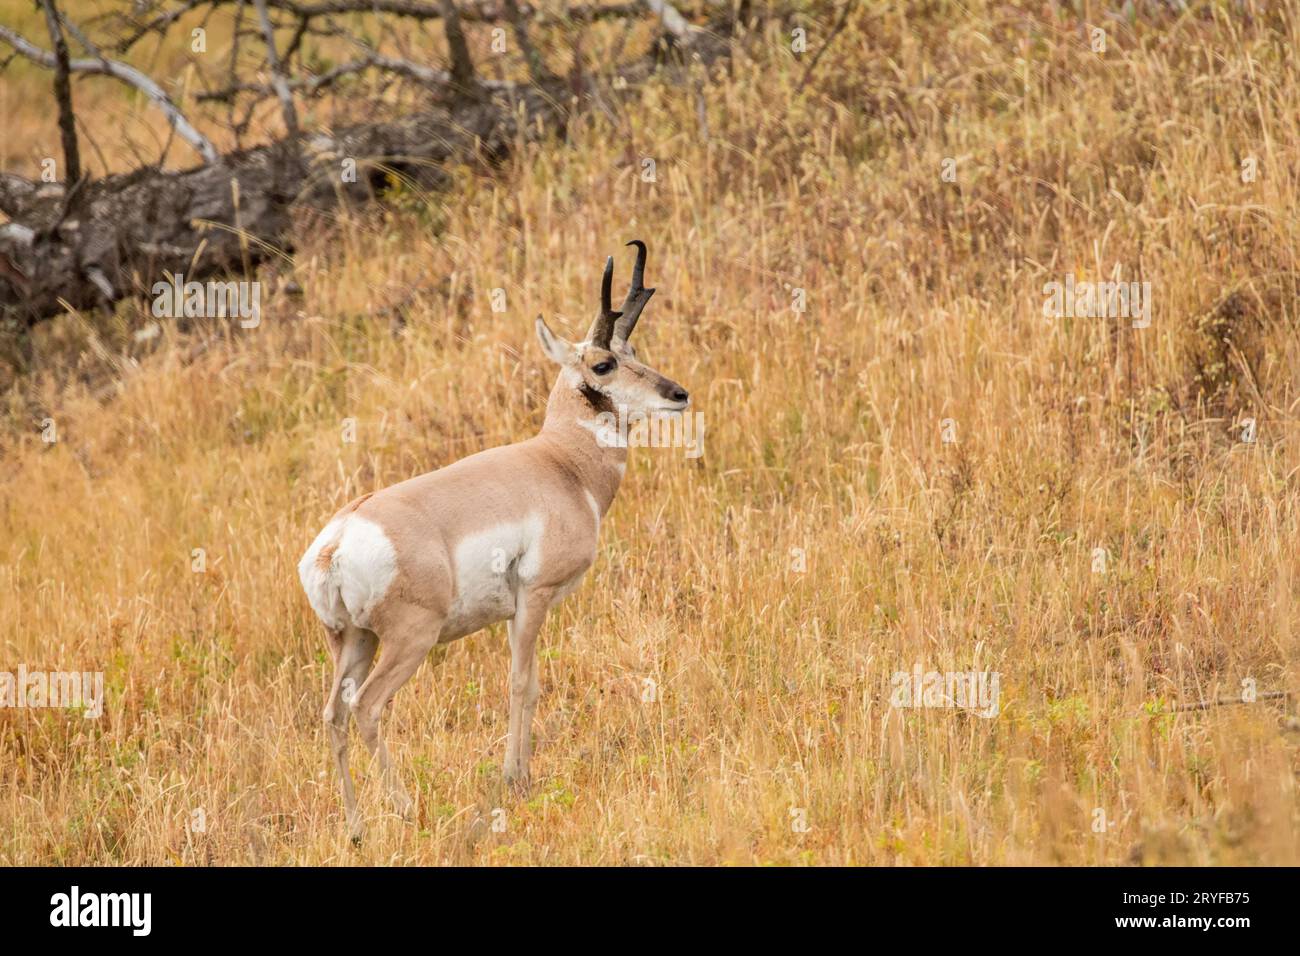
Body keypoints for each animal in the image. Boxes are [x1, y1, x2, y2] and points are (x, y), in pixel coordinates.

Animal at [297, 243, 686, 842]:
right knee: (367, 708)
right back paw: (406, 809)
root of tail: (336, 542)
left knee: (334, 715)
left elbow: (532, 684)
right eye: (602, 364)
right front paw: (515, 779)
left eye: (634, 349)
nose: (678, 394)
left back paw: (358, 829)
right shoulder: (535, 598)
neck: (560, 463)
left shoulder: (515, 612)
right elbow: (521, 683)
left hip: (352, 641)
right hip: (410, 640)